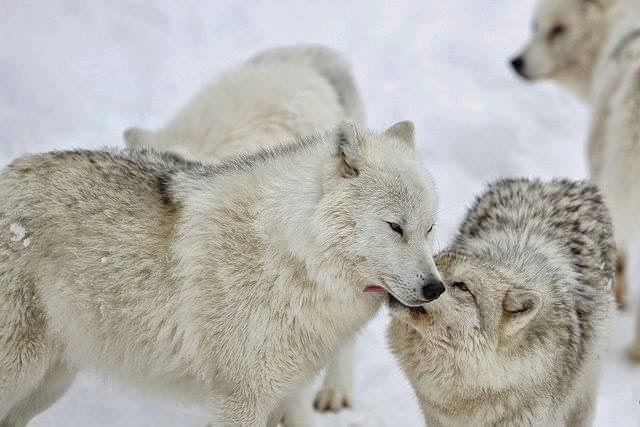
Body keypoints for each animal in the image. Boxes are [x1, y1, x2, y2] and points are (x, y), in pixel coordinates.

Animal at [0, 120, 442, 426]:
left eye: (429, 229)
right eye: (395, 227)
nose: (435, 288)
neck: (292, 255)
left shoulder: (285, 396)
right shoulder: (241, 401)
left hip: (49, 382)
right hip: (22, 372)